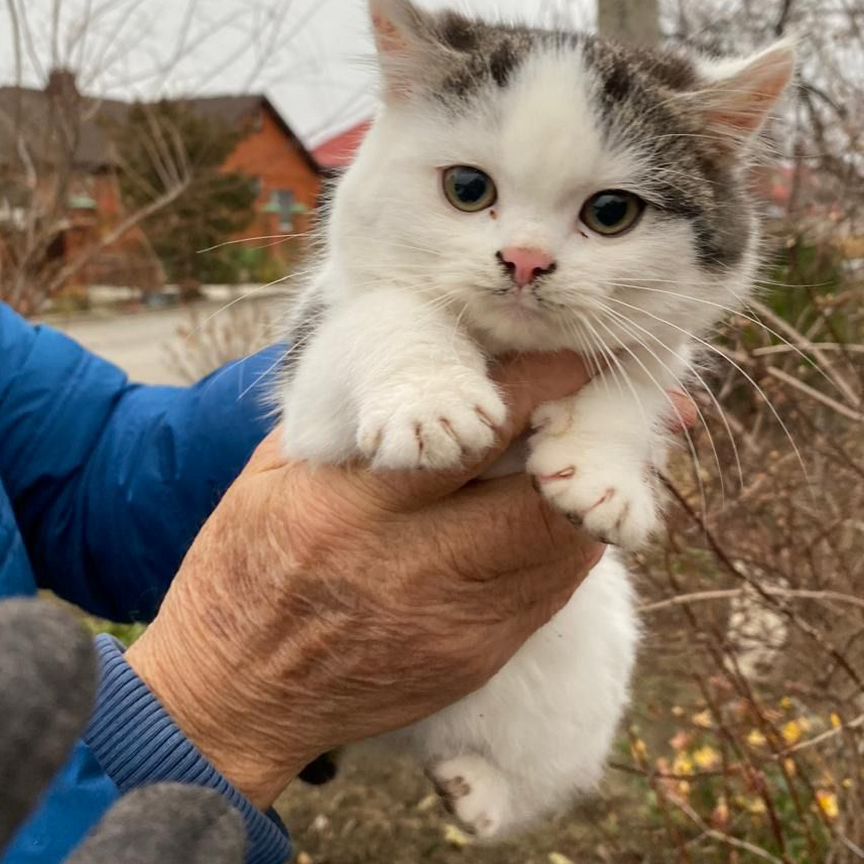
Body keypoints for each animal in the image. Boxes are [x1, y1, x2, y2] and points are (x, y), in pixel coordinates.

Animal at [278, 0, 796, 836]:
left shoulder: (667, 333)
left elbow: (642, 366)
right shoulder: (307, 394)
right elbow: (388, 309)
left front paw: (604, 473)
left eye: (611, 213)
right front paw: (433, 401)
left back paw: (475, 791)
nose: (523, 259)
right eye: (466, 187)